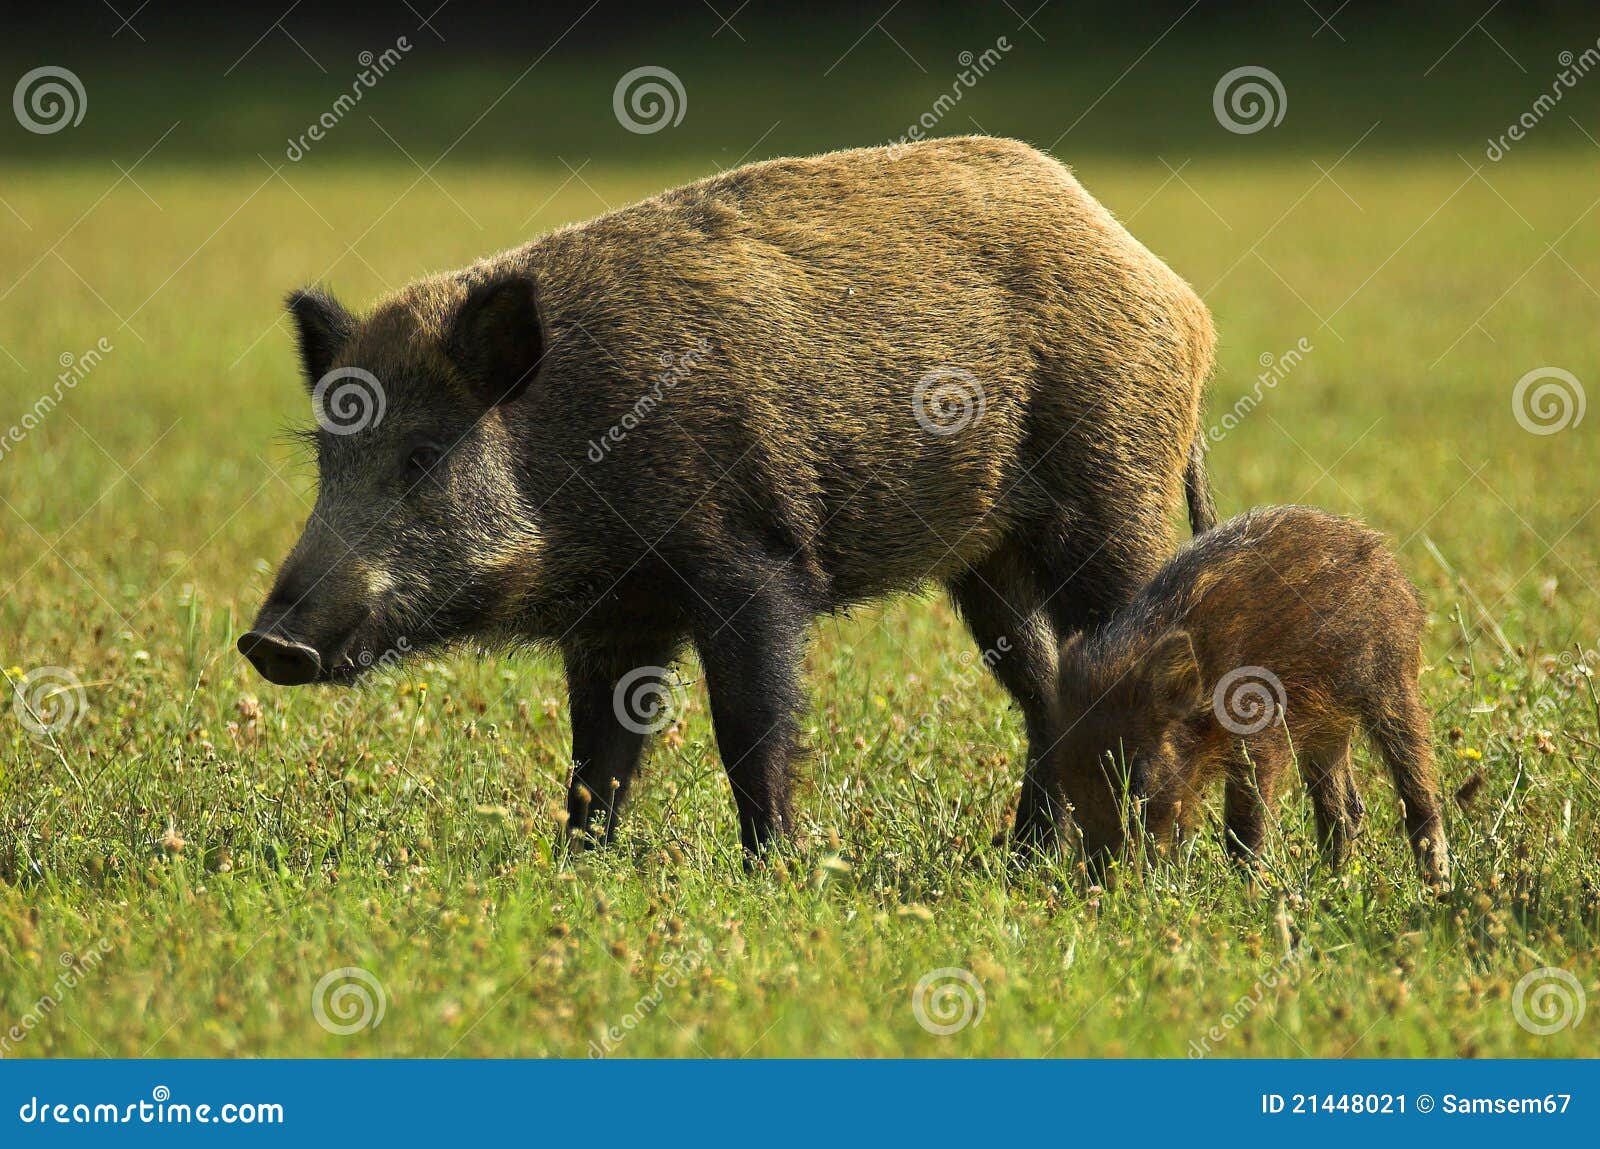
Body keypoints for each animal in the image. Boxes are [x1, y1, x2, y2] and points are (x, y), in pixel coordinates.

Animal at [236, 136, 1217, 860]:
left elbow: (746, 725)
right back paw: (1020, 858)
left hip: (1113, 496)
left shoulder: (751, 563)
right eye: (328, 460)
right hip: (987, 558)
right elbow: (597, 756)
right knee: (1046, 685)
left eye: (423, 454)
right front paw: (575, 866)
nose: (269, 641)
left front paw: (773, 869)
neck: (576, 444)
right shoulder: (615, 621)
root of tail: (1180, 299)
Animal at [1053, 505, 1451, 887]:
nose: (1101, 884)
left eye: (1136, 778)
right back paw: (1331, 883)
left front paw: (1251, 893)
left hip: (1391, 683)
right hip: (1328, 728)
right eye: (1068, 773)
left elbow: (1244, 826)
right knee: (1345, 810)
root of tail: (1387, 560)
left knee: (1419, 790)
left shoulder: (1261, 739)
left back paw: (1436, 884)